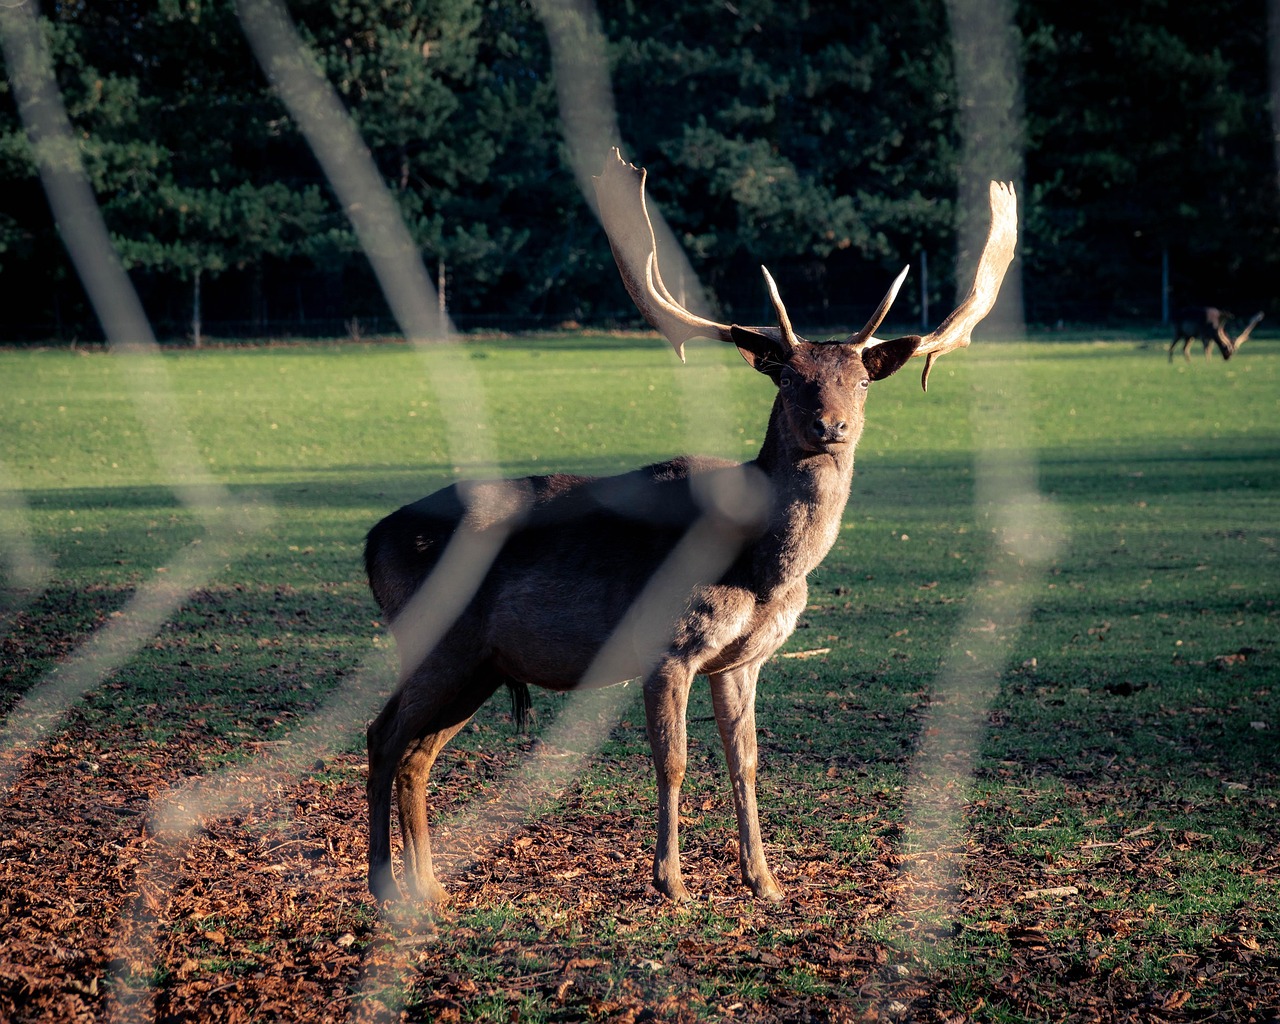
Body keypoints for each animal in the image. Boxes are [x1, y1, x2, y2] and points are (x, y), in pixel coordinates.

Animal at [363, 149, 1017, 905]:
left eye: (859, 380)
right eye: (788, 378)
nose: (831, 426)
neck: (765, 570)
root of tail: (370, 541)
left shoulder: (743, 659)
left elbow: (747, 761)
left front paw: (765, 880)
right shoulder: (666, 646)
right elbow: (672, 763)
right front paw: (670, 882)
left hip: (479, 663)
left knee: (416, 752)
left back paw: (430, 889)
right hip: (441, 640)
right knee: (383, 736)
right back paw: (384, 884)